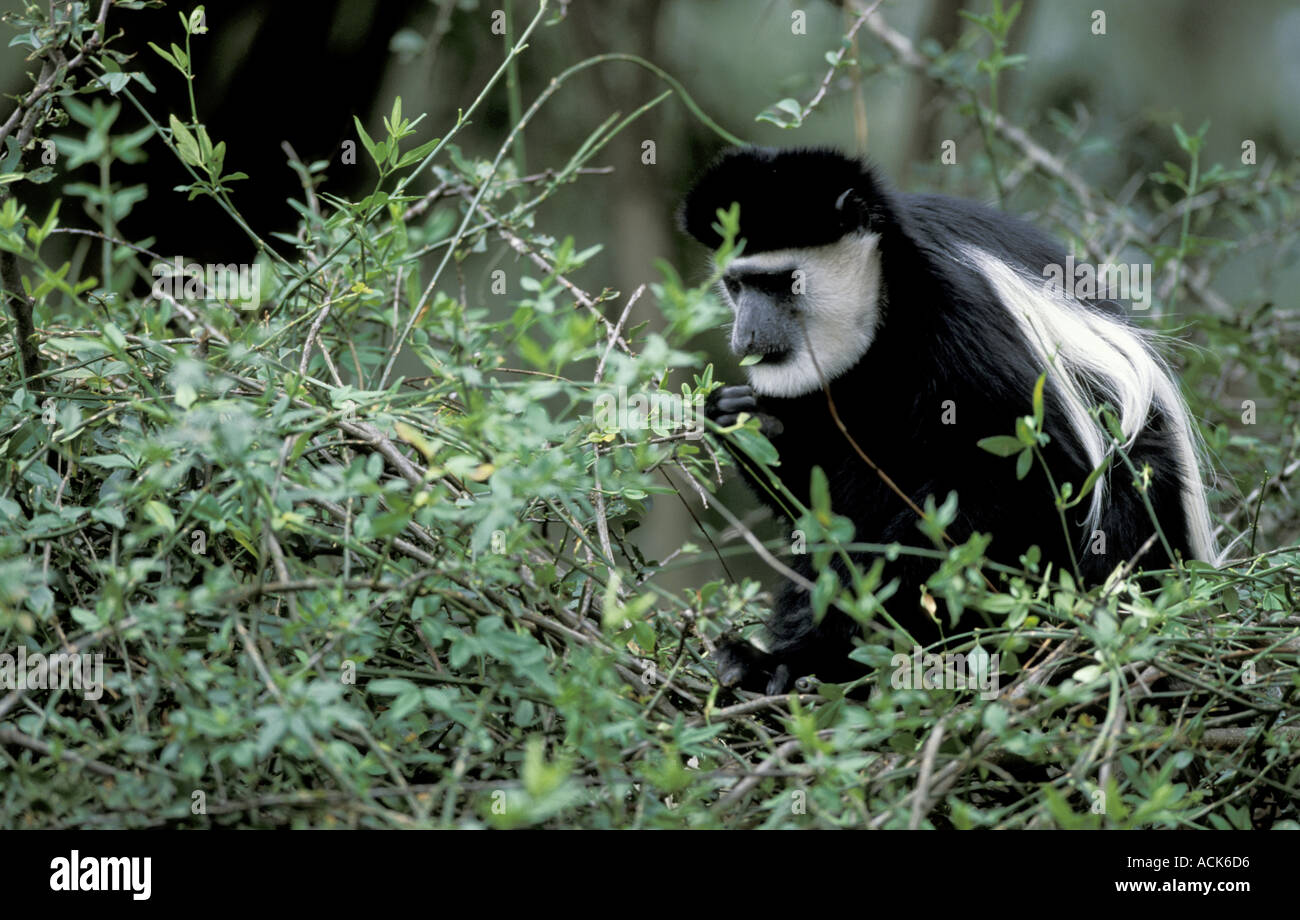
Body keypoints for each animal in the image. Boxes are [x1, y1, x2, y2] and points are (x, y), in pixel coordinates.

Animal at [678, 147, 1216, 695]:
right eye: (736, 285)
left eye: (783, 282)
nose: (746, 338)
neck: (886, 306)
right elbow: (817, 505)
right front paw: (744, 421)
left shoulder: (963, 314)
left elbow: (1037, 478)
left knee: (1128, 481)